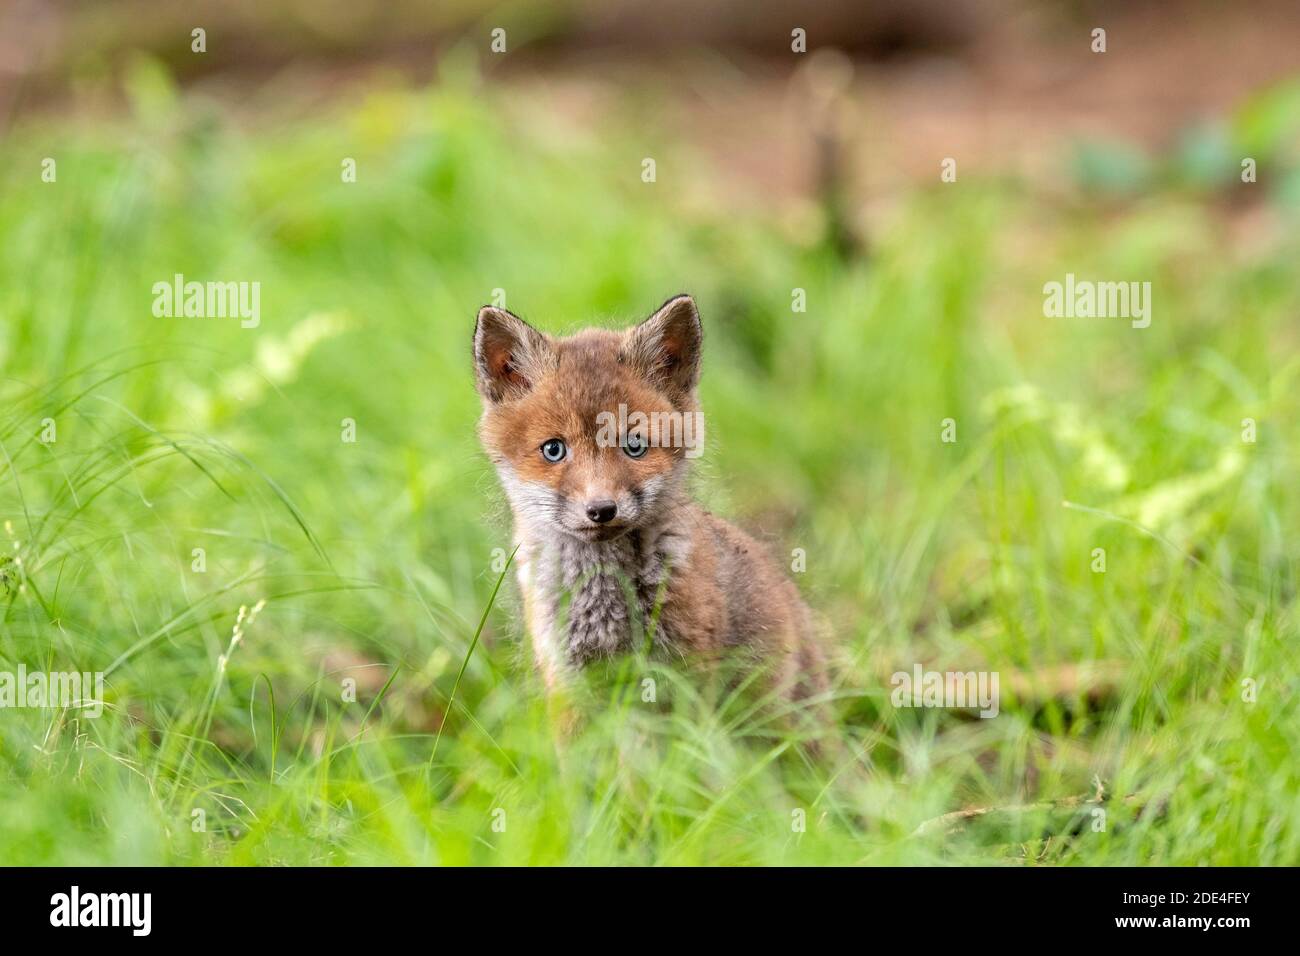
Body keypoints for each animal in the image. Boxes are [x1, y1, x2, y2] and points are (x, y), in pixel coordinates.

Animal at [472, 294, 828, 727]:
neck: (604, 599)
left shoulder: (686, 673)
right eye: (554, 449)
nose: (601, 509)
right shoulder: (568, 680)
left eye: (635, 445)